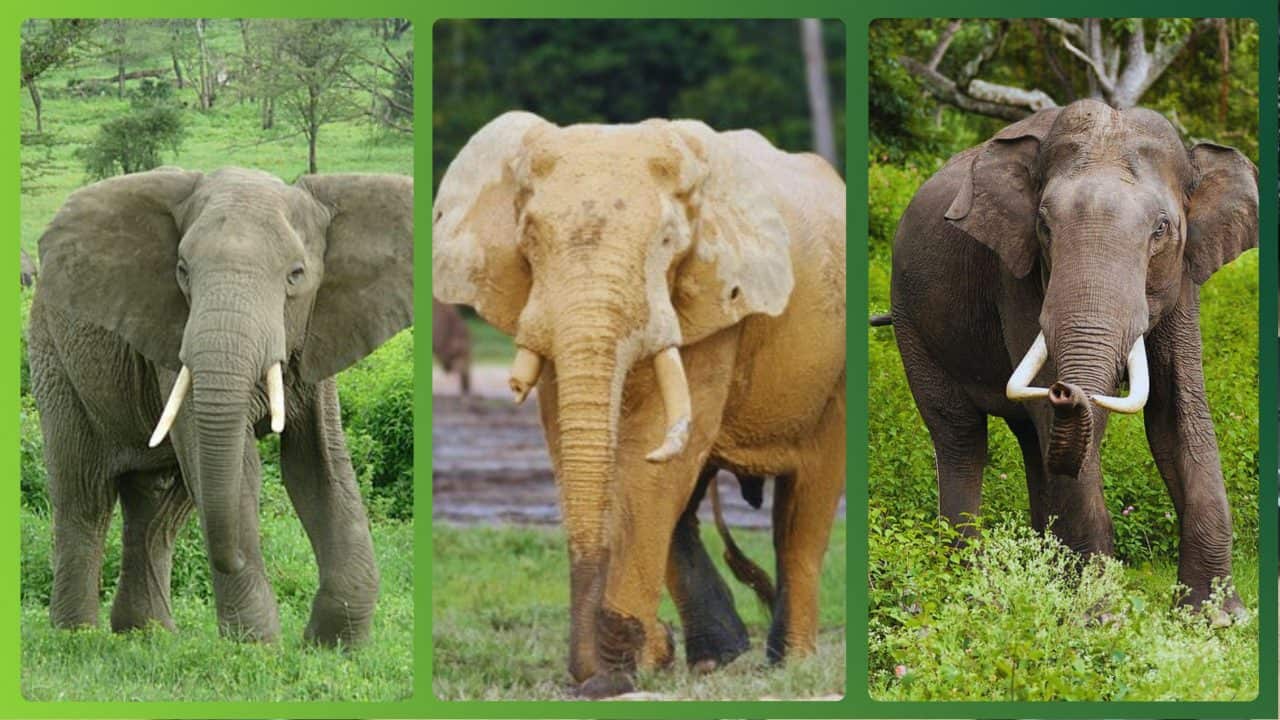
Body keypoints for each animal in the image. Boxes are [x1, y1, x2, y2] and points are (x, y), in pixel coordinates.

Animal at [28, 166, 413, 645]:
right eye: (182, 271)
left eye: (296, 275)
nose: (235, 558)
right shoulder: (175, 336)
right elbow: (240, 472)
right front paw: (257, 648)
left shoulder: (317, 337)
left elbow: (320, 467)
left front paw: (333, 647)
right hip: (54, 357)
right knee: (85, 495)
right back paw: (77, 637)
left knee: (158, 509)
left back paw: (147, 637)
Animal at [433, 112, 846, 696]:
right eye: (529, 236)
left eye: (669, 240)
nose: (653, 640)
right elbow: (582, 445)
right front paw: (639, 660)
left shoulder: (714, 299)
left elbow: (652, 456)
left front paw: (618, 670)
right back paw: (714, 658)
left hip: (833, 377)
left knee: (802, 512)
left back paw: (788, 663)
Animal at [884, 99, 1257, 620]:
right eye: (1044, 226)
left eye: (1161, 229)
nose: (1064, 389)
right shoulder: (1015, 273)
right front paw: (1098, 616)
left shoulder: (1184, 276)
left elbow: (1178, 415)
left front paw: (1218, 618)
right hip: (911, 322)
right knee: (961, 437)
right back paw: (972, 591)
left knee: (1031, 441)